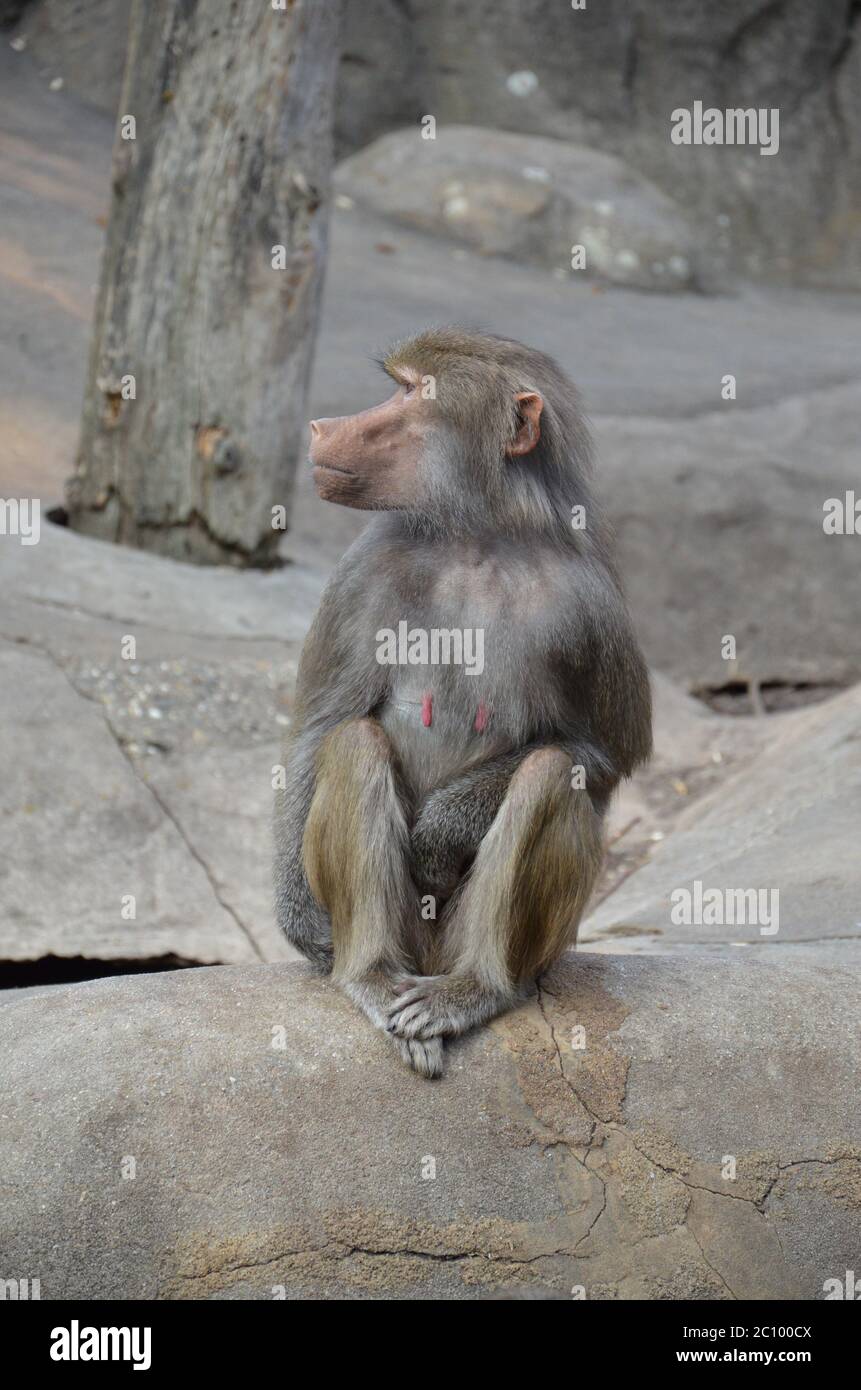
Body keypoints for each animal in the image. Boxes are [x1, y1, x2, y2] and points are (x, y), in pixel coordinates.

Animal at [274, 327, 651, 1078]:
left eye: (413, 393)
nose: (323, 427)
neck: (477, 541)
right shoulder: (364, 568)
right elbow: (321, 723)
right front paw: (299, 916)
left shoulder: (589, 605)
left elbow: (602, 751)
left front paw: (443, 832)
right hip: (404, 934)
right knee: (354, 743)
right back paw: (370, 974)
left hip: (491, 947)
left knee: (549, 773)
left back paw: (474, 989)